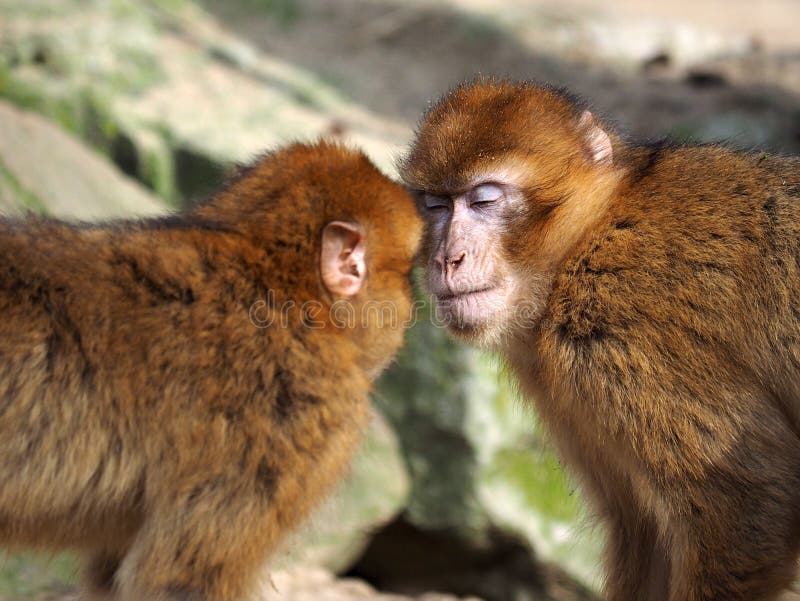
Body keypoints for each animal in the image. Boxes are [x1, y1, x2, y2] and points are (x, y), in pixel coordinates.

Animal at [400, 79, 800, 601]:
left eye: (483, 200)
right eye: (436, 205)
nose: (448, 259)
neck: (585, 237)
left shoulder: (616, 323)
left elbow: (751, 503)